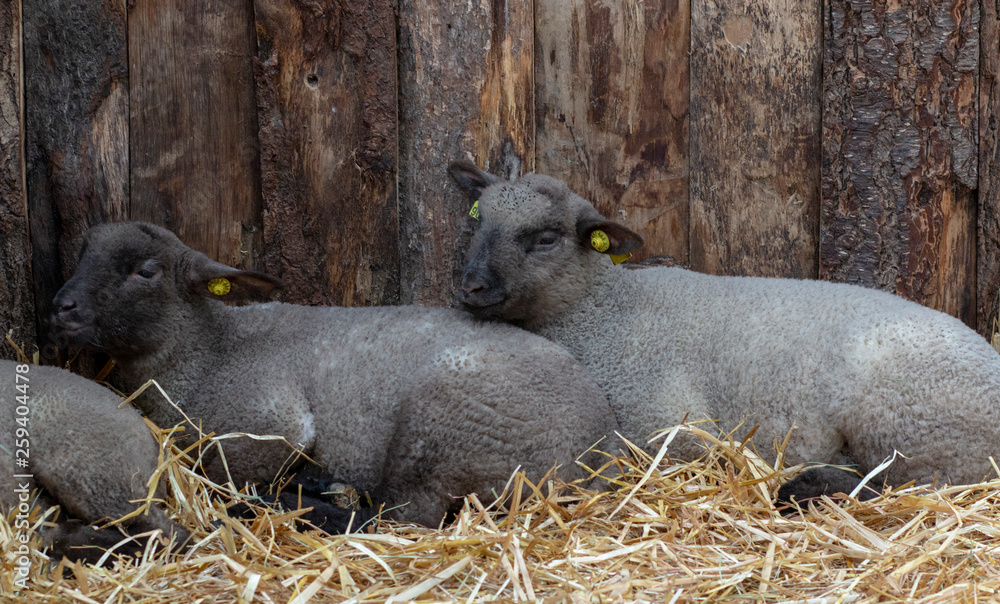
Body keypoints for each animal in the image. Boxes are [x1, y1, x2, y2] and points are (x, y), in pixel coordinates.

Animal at [49, 222, 622, 528]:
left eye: (145, 271)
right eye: (81, 253)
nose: (62, 307)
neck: (208, 351)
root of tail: (597, 456)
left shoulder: (273, 424)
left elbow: (240, 482)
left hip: (444, 421)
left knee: (400, 515)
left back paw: (316, 501)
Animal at [448, 160, 1000, 504]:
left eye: (545, 237)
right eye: (477, 218)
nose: (470, 286)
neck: (605, 312)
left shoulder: (673, 429)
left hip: (908, 425)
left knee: (909, 484)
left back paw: (806, 489)